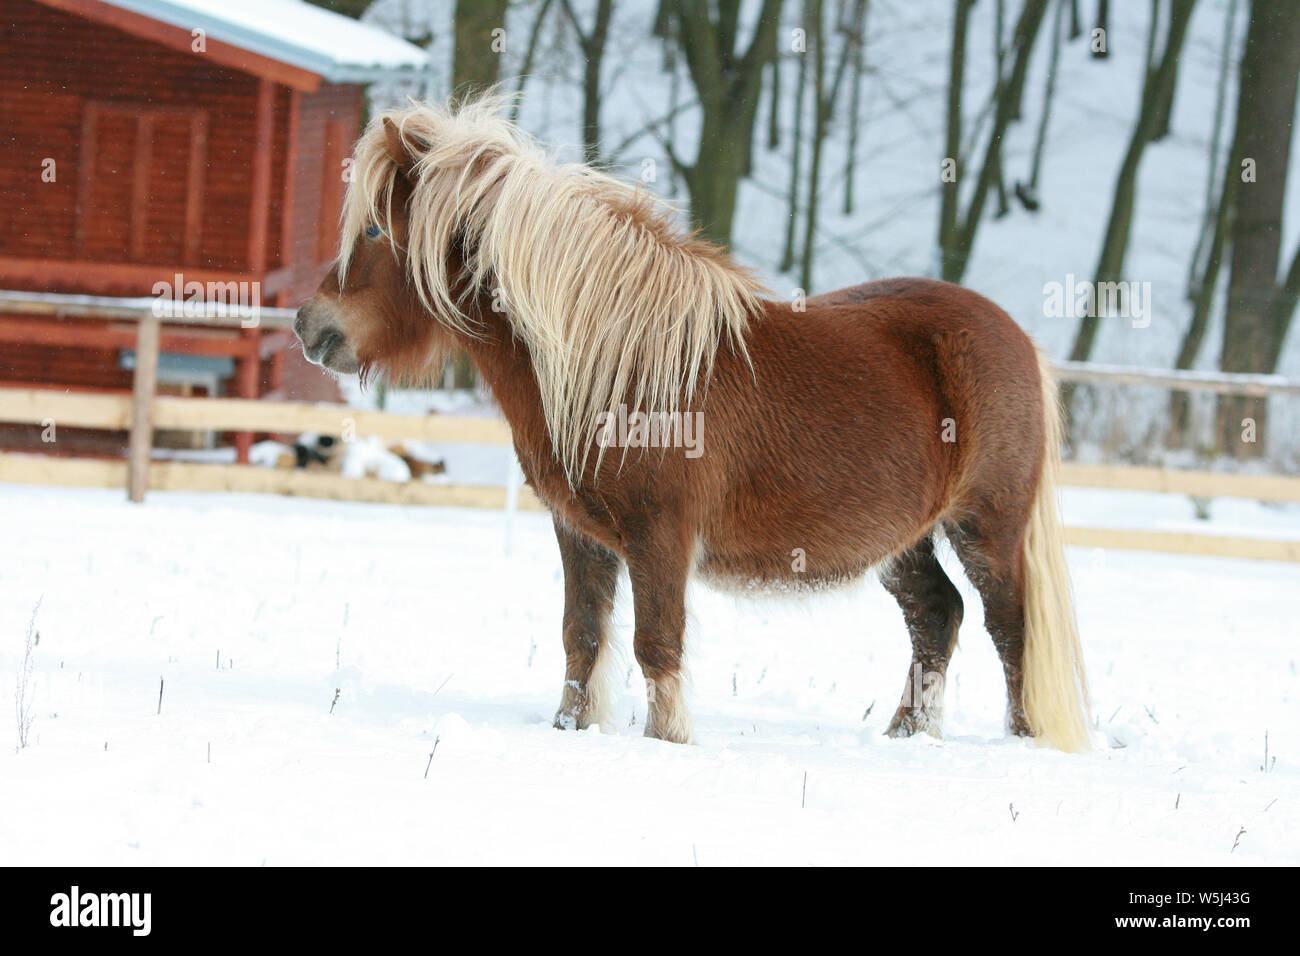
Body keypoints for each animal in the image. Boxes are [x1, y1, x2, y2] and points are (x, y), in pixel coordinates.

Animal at [293, 97, 1092, 752]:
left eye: (374, 227)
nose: (309, 326)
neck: (615, 356)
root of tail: (1017, 338)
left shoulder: (662, 535)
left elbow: (656, 644)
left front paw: (668, 743)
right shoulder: (580, 532)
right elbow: (581, 637)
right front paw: (569, 731)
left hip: (987, 526)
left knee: (1010, 627)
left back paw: (1020, 742)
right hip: (906, 538)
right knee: (937, 615)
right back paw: (905, 735)